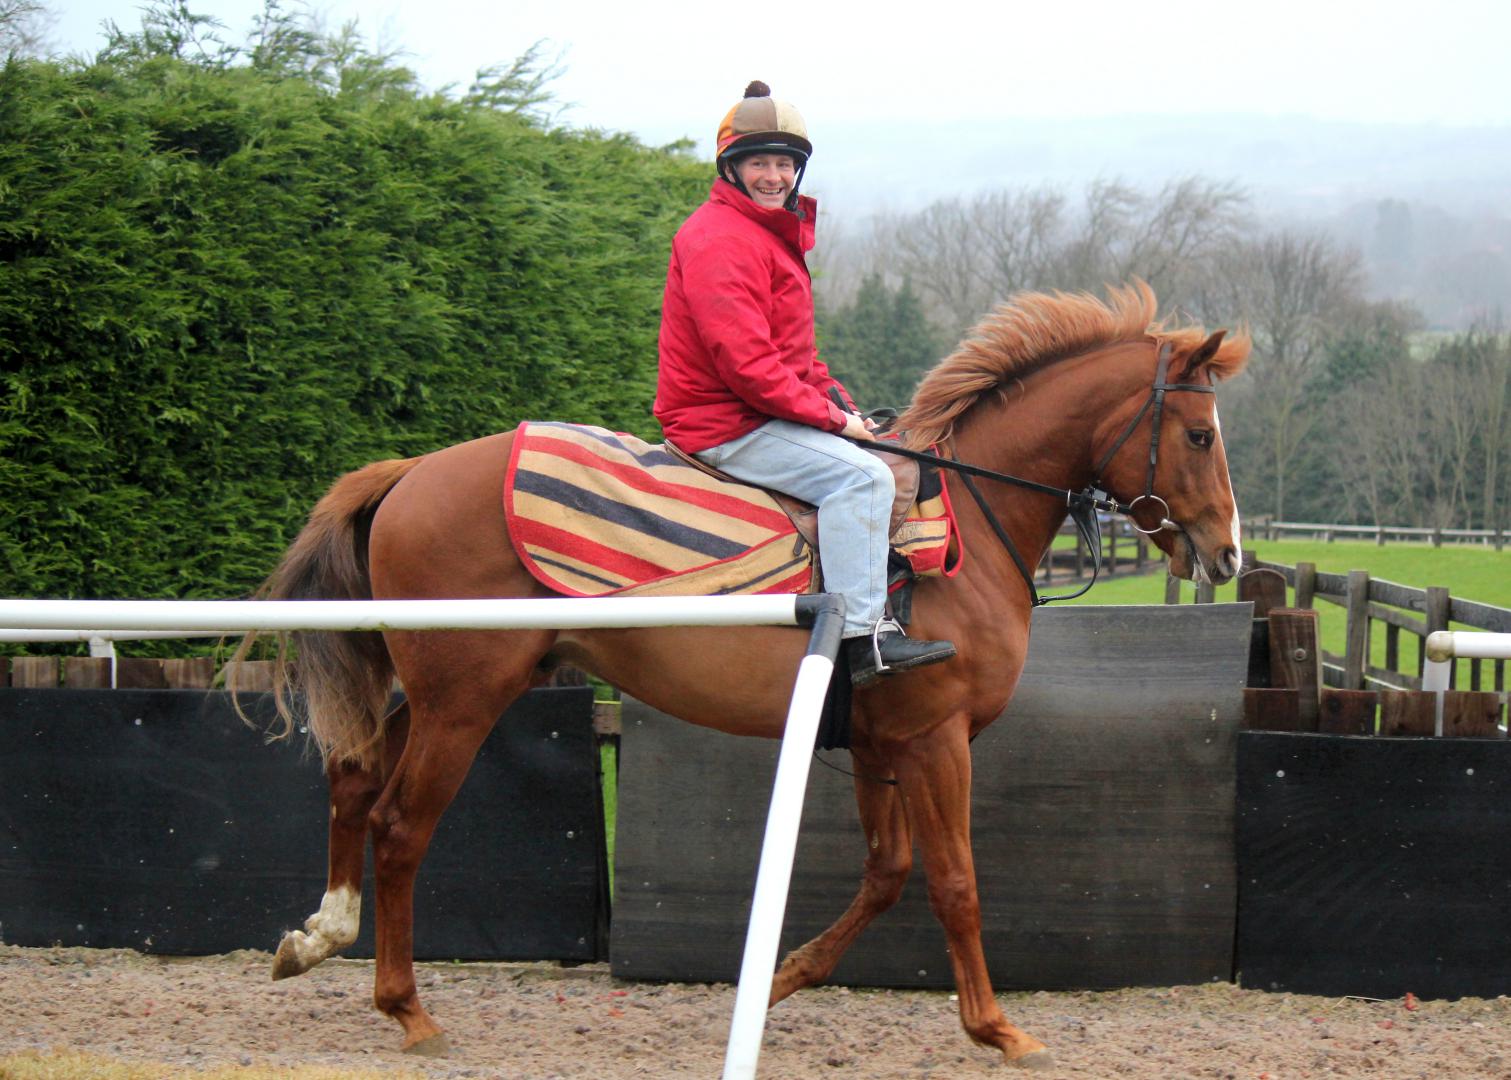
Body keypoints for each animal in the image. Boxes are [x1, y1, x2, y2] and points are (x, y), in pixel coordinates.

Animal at [242, 281, 1249, 1069]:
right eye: (1200, 435)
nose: (1228, 553)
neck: (959, 520)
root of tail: (411, 471)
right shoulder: (935, 740)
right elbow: (954, 884)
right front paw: (996, 1028)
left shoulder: (879, 742)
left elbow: (886, 874)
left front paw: (780, 979)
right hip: (464, 700)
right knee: (400, 827)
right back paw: (407, 1010)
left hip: (452, 689)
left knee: (352, 779)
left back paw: (317, 936)